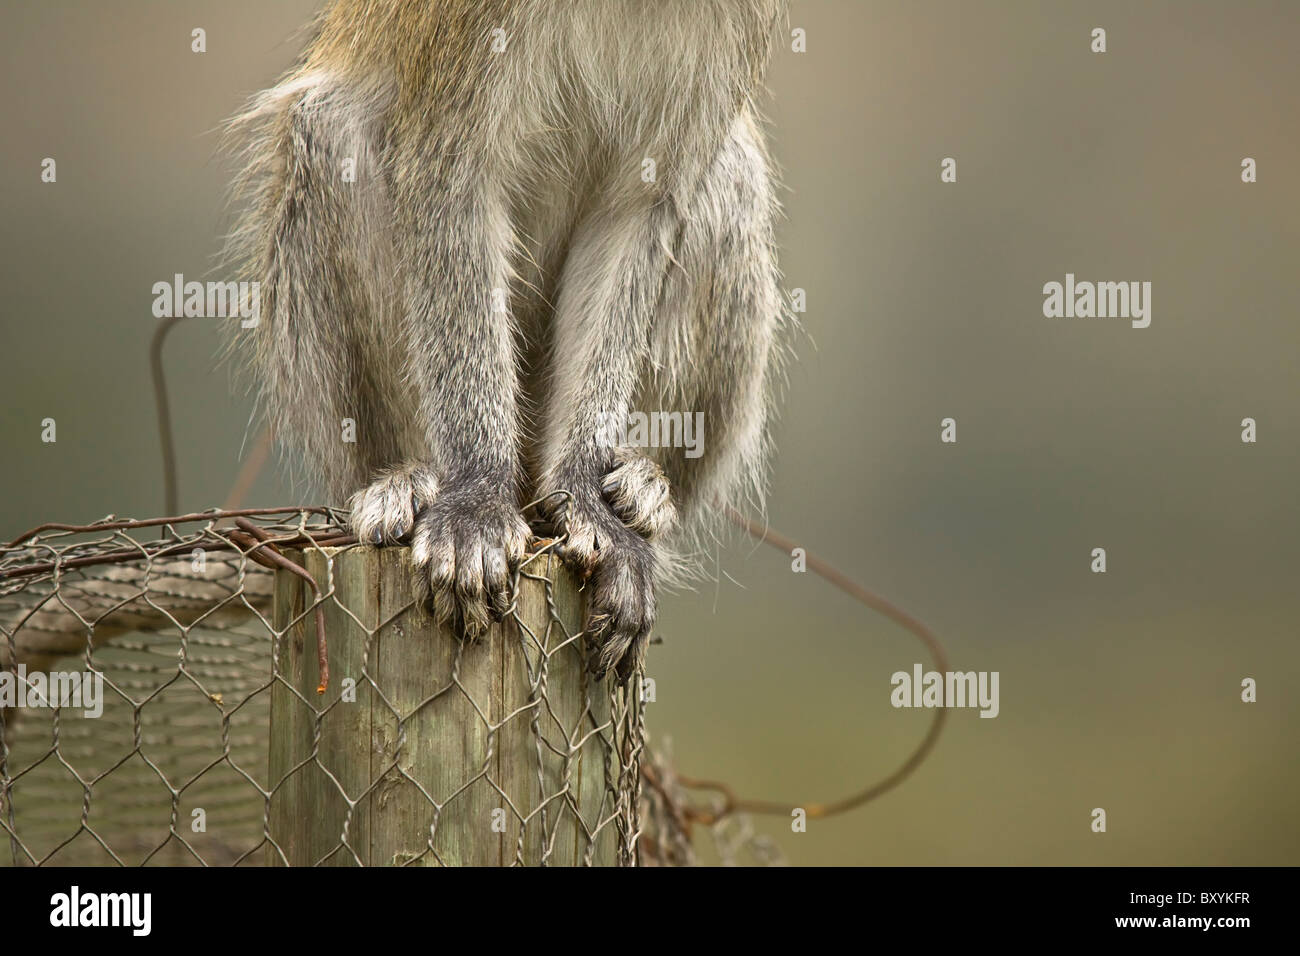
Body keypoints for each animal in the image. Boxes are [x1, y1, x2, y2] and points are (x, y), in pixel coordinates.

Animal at [226, 0, 791, 682]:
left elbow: (640, 209)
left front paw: (589, 502)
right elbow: (449, 182)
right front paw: (475, 498)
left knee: (730, 174)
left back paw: (646, 485)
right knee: (331, 129)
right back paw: (406, 480)